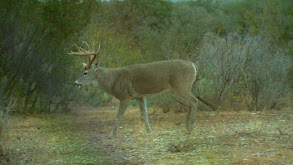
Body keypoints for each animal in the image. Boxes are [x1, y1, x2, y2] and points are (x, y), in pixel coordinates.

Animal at [69, 42, 198, 138]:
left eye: (85, 73)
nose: (75, 82)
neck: (114, 80)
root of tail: (193, 65)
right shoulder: (139, 96)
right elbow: (144, 113)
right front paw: (148, 130)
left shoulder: (125, 96)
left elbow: (118, 115)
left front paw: (113, 135)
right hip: (182, 87)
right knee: (191, 103)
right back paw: (187, 125)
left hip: (181, 86)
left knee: (194, 101)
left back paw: (190, 127)